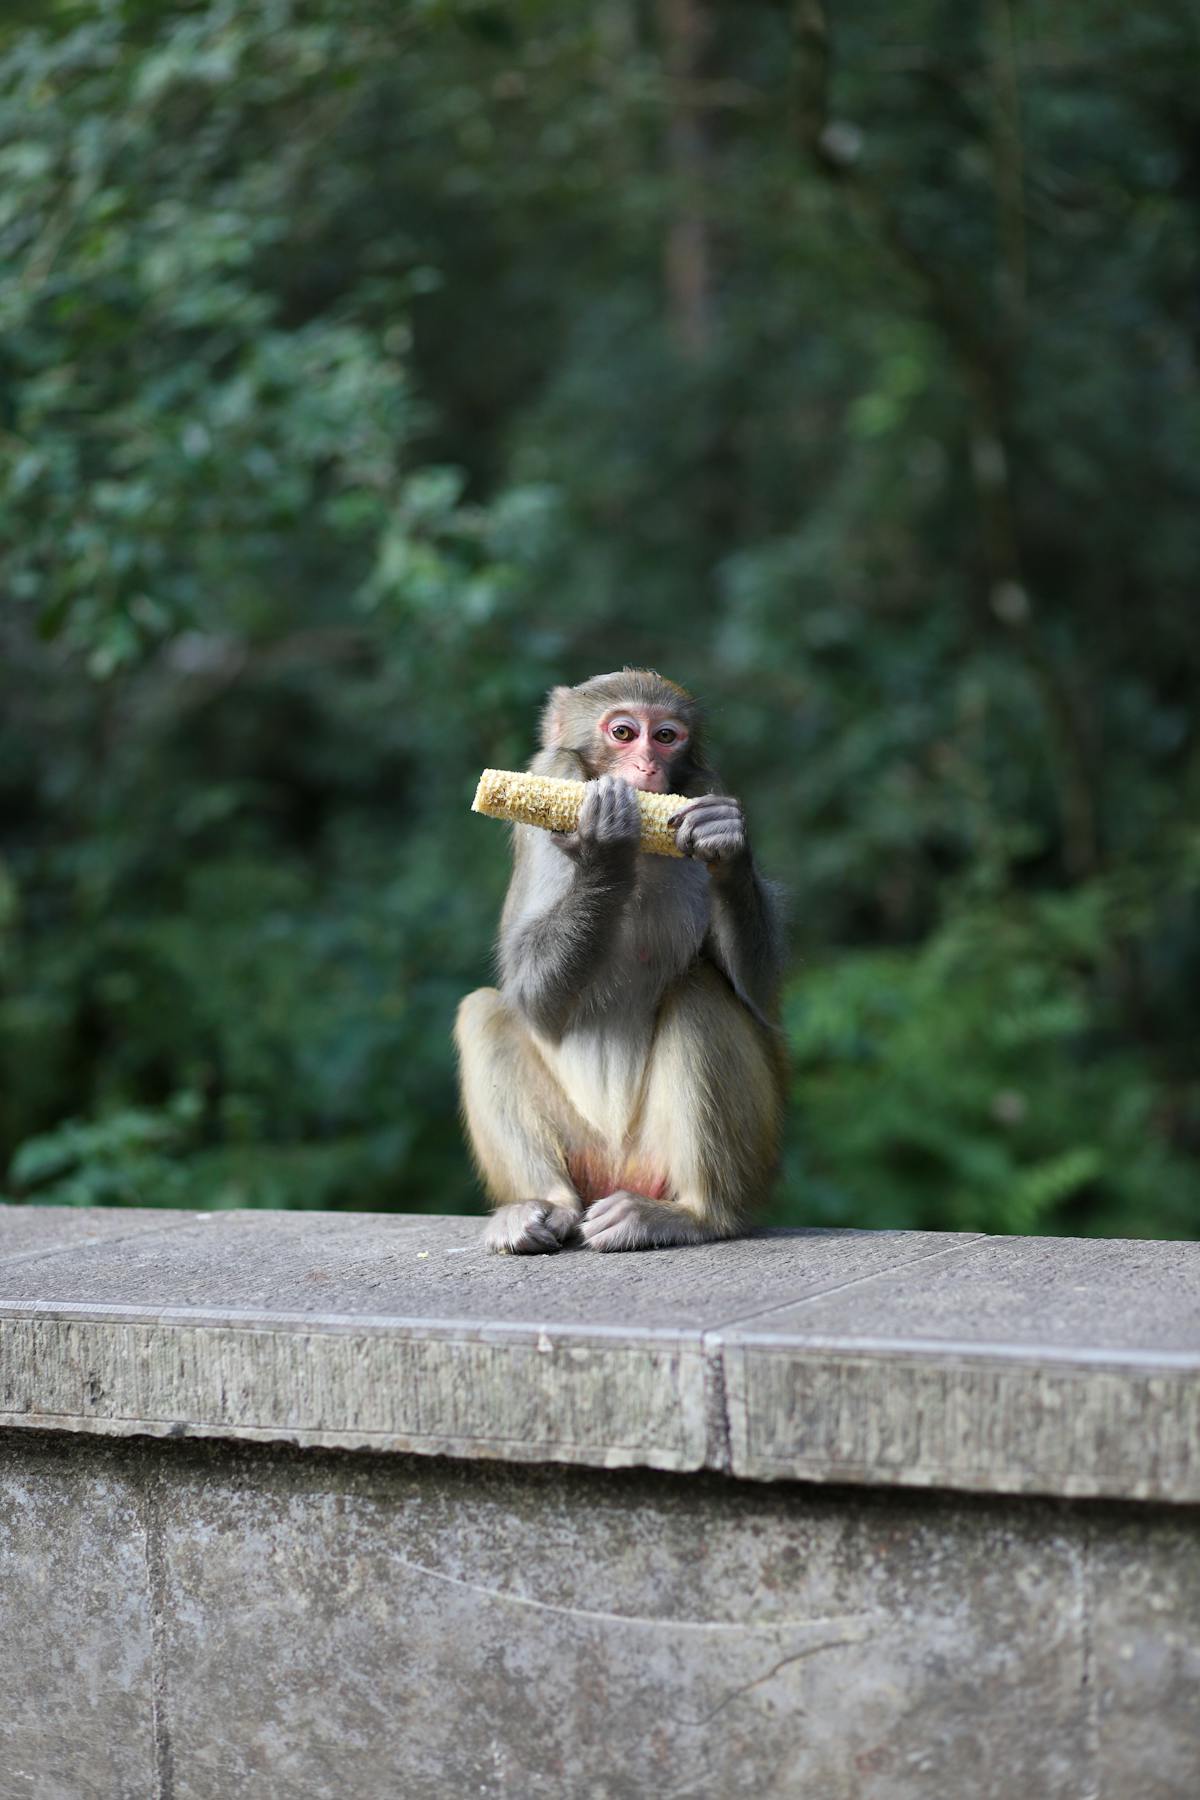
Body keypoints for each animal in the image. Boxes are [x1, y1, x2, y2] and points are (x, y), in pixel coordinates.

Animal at [455, 669, 786, 1253]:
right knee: (484, 1011)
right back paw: (542, 1206)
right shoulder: (552, 778)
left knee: (700, 988)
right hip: (582, 1152)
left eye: (667, 737)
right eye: (625, 733)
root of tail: (617, 1169)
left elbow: (759, 997)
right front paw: (604, 847)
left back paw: (696, 1215)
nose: (648, 766)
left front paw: (727, 844)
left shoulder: (705, 785)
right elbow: (531, 997)